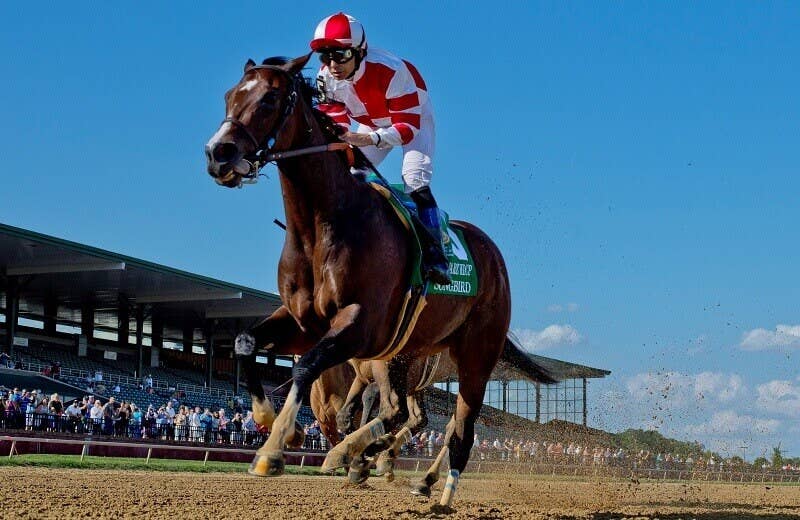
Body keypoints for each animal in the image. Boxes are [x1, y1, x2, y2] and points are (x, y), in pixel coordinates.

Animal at [204, 54, 554, 507]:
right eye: (230, 95)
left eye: (269, 99)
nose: (218, 154)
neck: (325, 224)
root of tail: (493, 255)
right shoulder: (304, 323)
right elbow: (246, 343)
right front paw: (279, 425)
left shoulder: (360, 326)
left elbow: (308, 369)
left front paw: (274, 449)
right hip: (409, 354)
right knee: (414, 416)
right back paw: (386, 464)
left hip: (476, 354)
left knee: (459, 429)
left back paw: (436, 493)